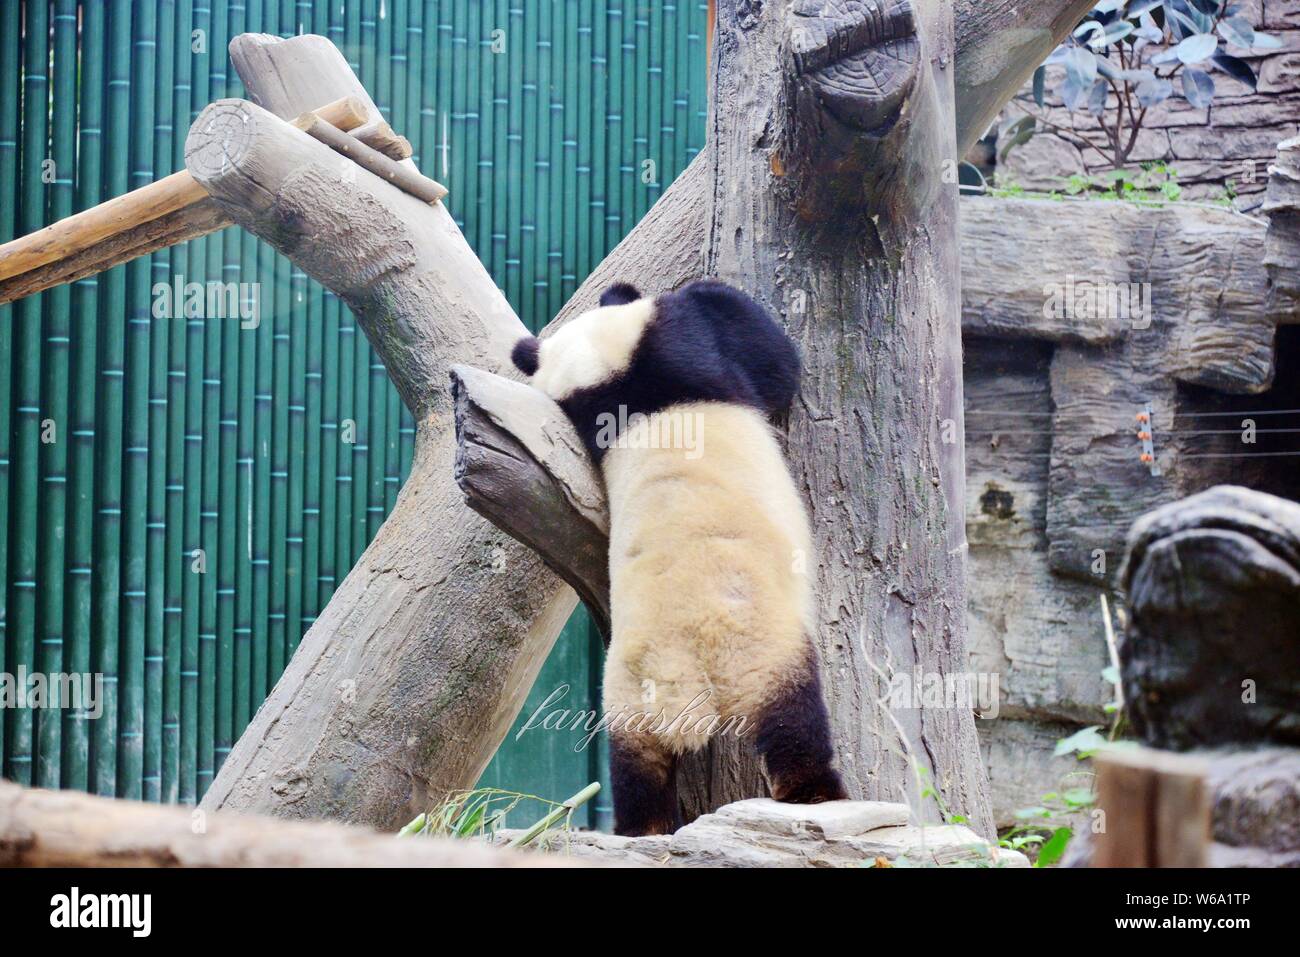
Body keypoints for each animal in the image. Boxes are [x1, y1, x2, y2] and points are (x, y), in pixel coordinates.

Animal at [511, 279, 847, 836]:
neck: (611, 377)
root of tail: (685, 669)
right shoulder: (684, 346)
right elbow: (770, 358)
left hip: (629, 693)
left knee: (636, 765)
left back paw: (640, 828)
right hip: (762, 648)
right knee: (794, 724)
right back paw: (816, 794)